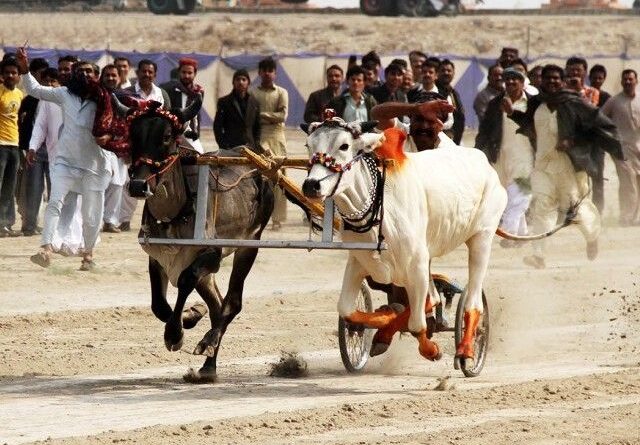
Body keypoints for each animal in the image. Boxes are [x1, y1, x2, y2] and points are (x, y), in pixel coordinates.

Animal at [122, 97, 274, 381]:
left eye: (167, 136)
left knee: (231, 303)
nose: (138, 185)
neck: (174, 212)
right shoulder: (157, 258)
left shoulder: (211, 255)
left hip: (249, 245)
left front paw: (175, 334)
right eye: (132, 135)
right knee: (217, 305)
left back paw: (208, 342)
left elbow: (185, 281)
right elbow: (159, 306)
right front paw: (190, 316)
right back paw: (208, 365)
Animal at [301, 117, 508, 362]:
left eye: (344, 145)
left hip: (481, 239)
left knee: (472, 299)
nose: (311, 185)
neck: (380, 208)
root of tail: (484, 162)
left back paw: (466, 350)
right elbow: (347, 310)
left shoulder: (416, 266)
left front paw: (432, 349)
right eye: (308, 145)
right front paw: (384, 323)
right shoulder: (358, 262)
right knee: (434, 297)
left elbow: (417, 325)